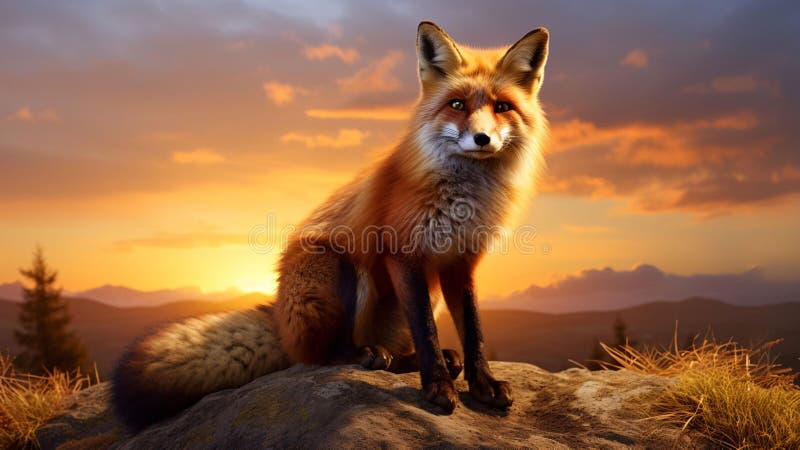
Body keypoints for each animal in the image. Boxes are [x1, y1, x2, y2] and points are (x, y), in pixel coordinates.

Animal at [112, 21, 550, 430]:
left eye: (502, 107)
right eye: (457, 104)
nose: (482, 138)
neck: (464, 198)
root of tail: (278, 319)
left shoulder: (461, 262)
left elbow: (474, 332)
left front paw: (483, 384)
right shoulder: (404, 252)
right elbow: (426, 331)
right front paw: (437, 388)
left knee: (394, 355)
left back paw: (414, 358)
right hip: (339, 266)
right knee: (326, 357)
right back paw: (364, 355)